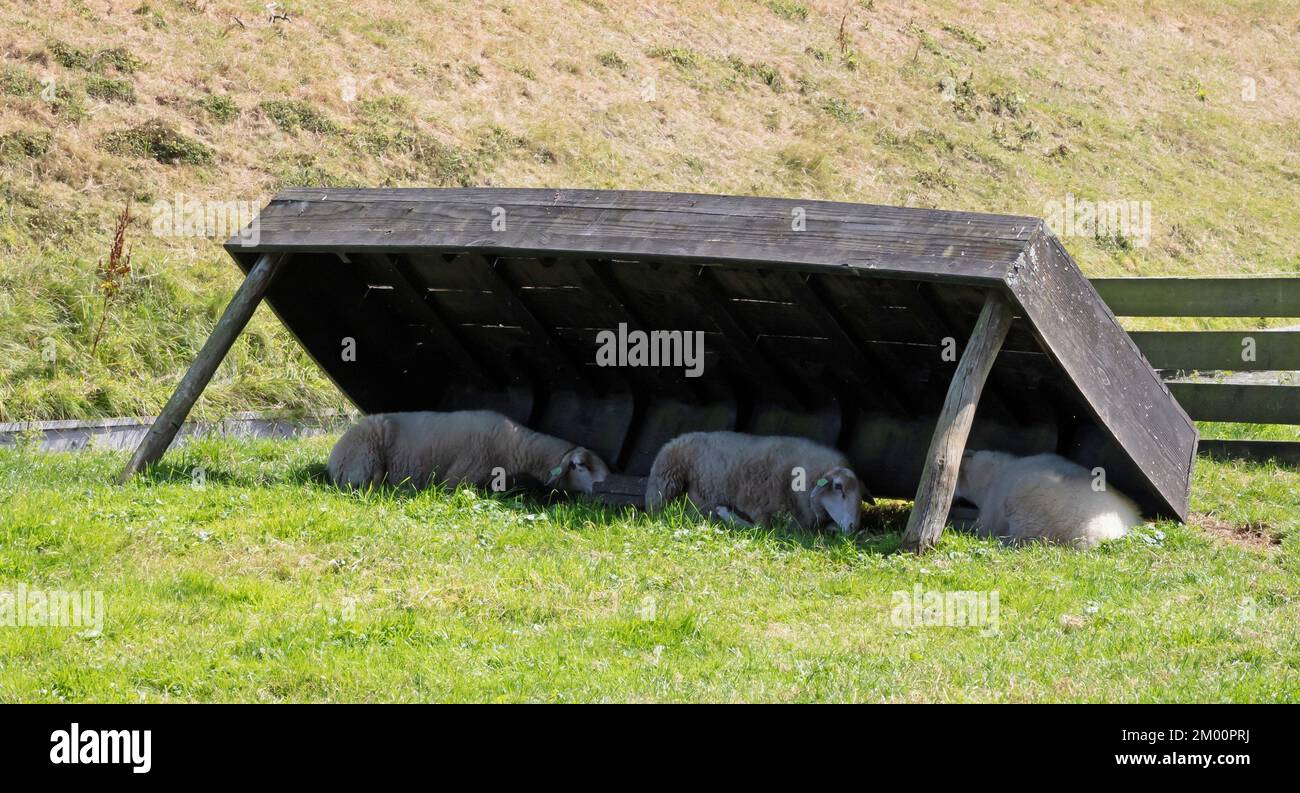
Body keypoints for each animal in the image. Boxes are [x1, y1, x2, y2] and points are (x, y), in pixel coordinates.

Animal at [327, 410, 610, 495]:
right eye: (579, 466)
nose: (608, 482)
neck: (516, 447)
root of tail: (334, 457)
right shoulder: (457, 479)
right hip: (366, 459)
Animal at [645, 431, 871, 534]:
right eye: (838, 487)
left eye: (860, 497)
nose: (854, 527)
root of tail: (679, 437)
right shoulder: (762, 507)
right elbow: (759, 528)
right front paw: (726, 514)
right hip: (666, 477)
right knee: (656, 508)